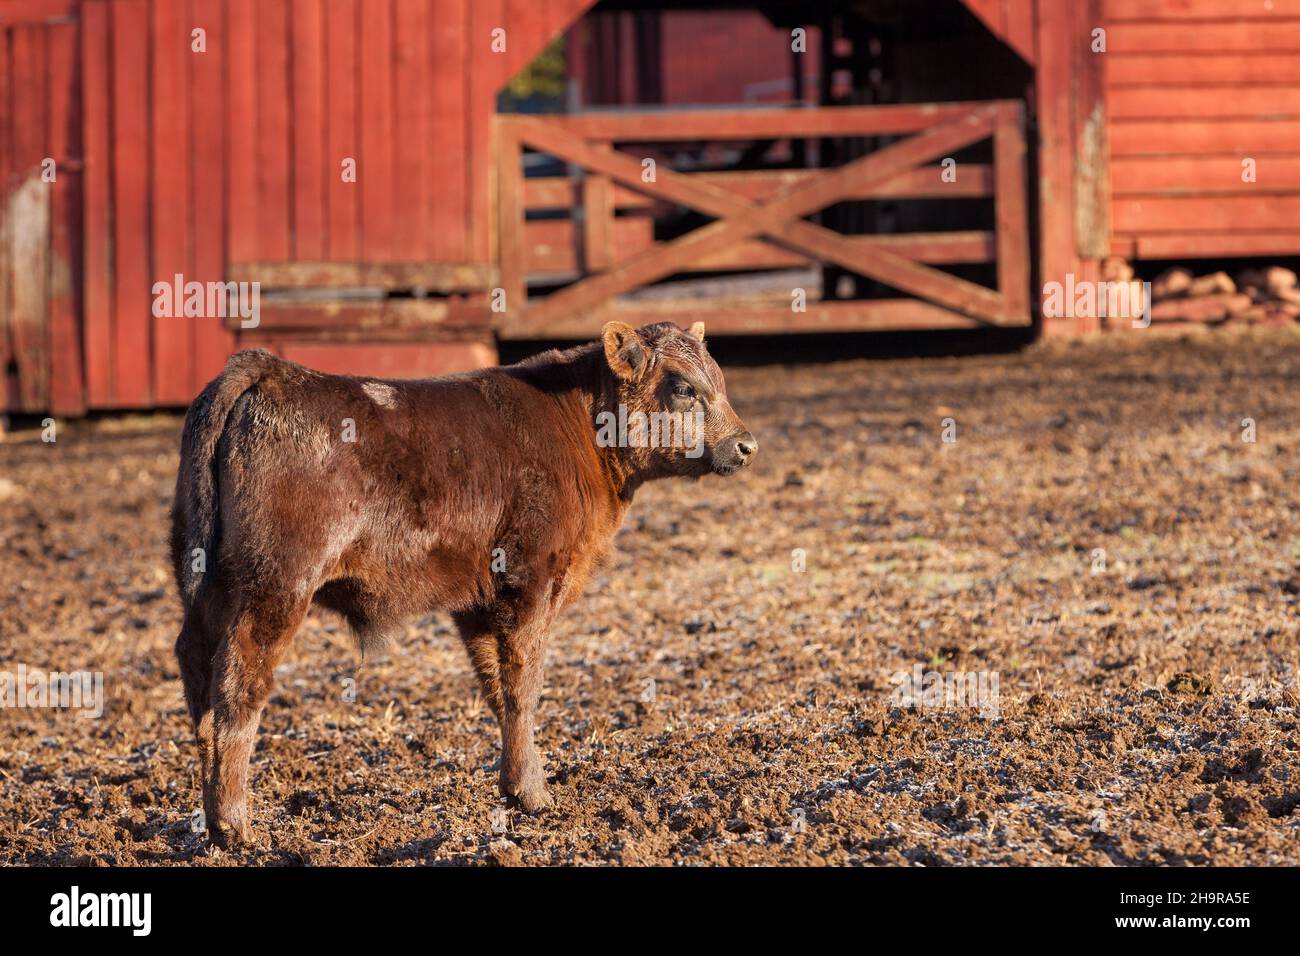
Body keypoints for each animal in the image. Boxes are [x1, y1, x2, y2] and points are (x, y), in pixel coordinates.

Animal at [170, 321, 757, 846]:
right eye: (682, 387)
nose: (745, 444)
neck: (578, 424)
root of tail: (274, 370)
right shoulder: (531, 584)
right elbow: (522, 685)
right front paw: (534, 795)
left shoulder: (479, 603)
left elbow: (496, 687)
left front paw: (516, 786)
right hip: (275, 590)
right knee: (239, 684)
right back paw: (235, 826)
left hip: (209, 590)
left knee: (197, 673)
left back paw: (210, 818)